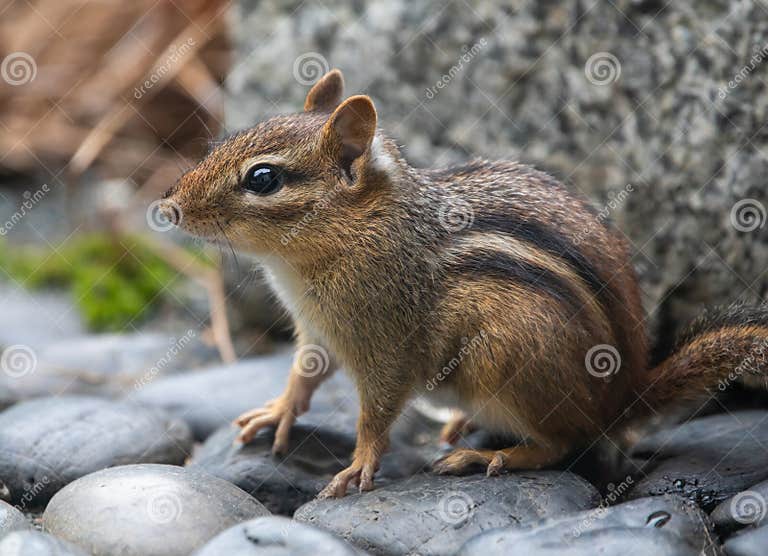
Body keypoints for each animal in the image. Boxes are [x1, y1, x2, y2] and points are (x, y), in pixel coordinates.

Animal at [160, 69, 768, 499]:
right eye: (227, 140)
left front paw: (358, 464)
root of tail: (628, 394)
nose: (168, 207)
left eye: (263, 178)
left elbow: (377, 412)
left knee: (565, 442)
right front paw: (279, 409)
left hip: (507, 356)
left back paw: (491, 455)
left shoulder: (387, 342)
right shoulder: (316, 332)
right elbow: (304, 374)